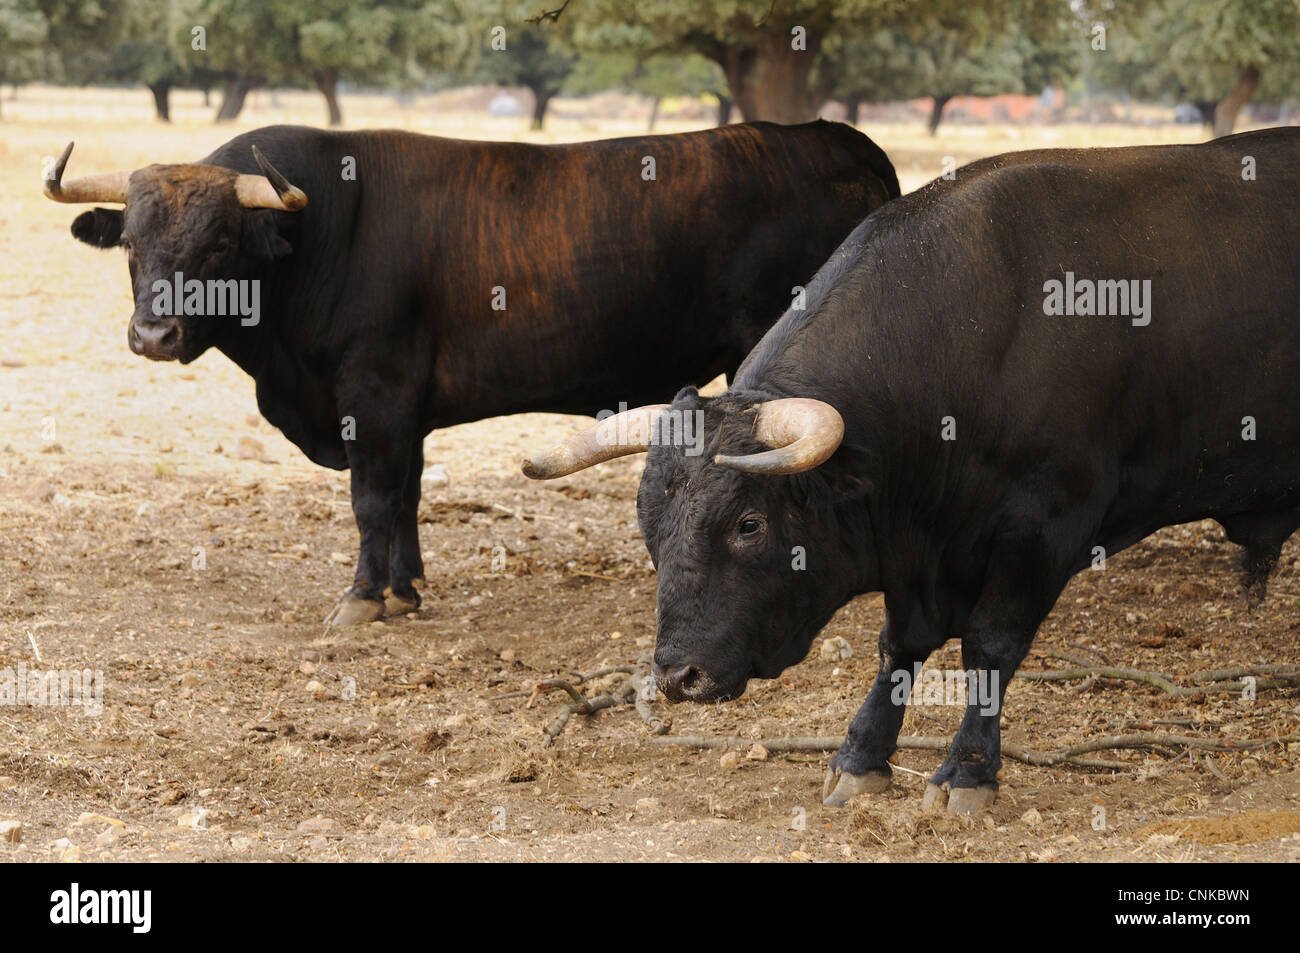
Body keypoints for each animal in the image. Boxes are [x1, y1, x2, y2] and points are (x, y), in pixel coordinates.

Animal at [43, 121, 898, 625]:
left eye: (219, 243)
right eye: (130, 244)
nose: (153, 334)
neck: (324, 234)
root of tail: (830, 139)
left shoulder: (375, 396)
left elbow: (371, 499)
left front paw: (363, 598)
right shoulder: (403, 413)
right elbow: (406, 498)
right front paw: (406, 585)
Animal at [522, 127, 1300, 812]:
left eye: (748, 524)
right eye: (648, 526)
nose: (679, 674)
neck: (984, 331)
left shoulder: (1046, 528)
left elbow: (990, 644)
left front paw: (969, 771)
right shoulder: (915, 550)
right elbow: (901, 645)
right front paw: (861, 757)